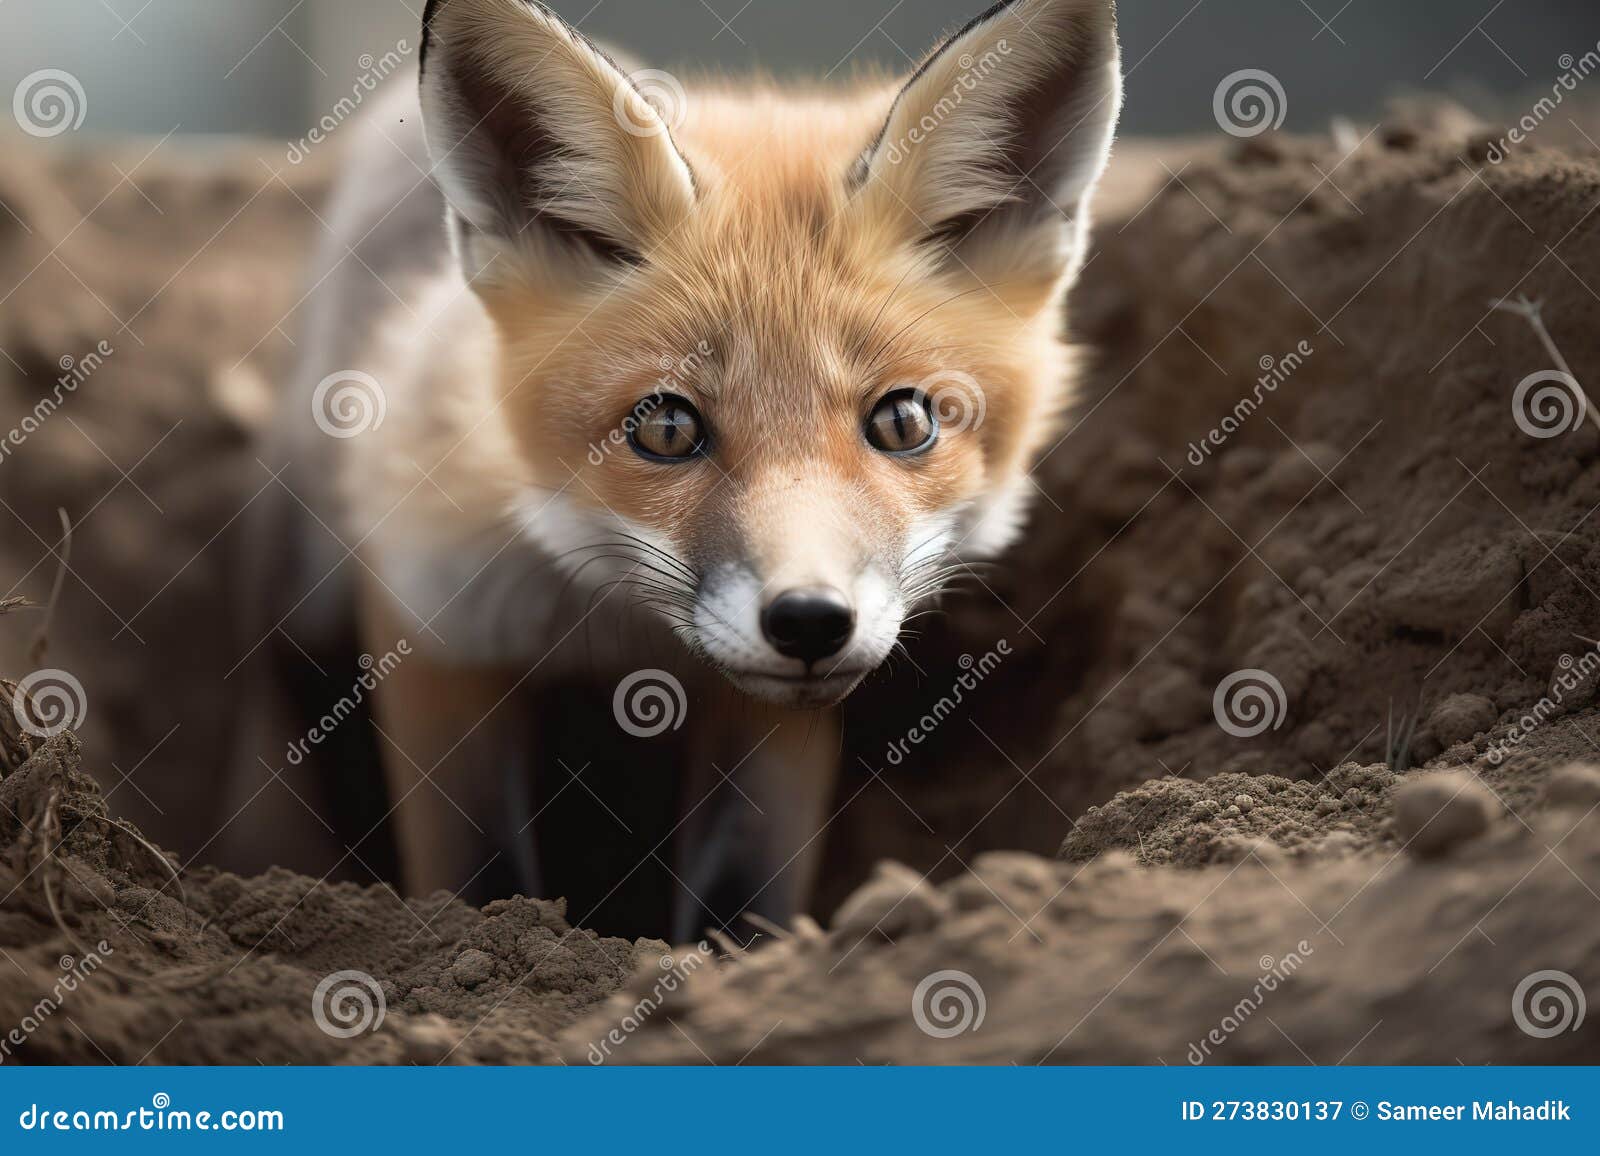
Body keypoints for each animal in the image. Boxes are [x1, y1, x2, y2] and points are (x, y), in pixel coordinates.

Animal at [220, 0, 1122, 942]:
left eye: (904, 421)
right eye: (665, 427)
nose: (809, 621)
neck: (624, 626)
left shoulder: (770, 717)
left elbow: (744, 888)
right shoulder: (432, 619)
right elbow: (476, 875)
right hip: (303, 607)